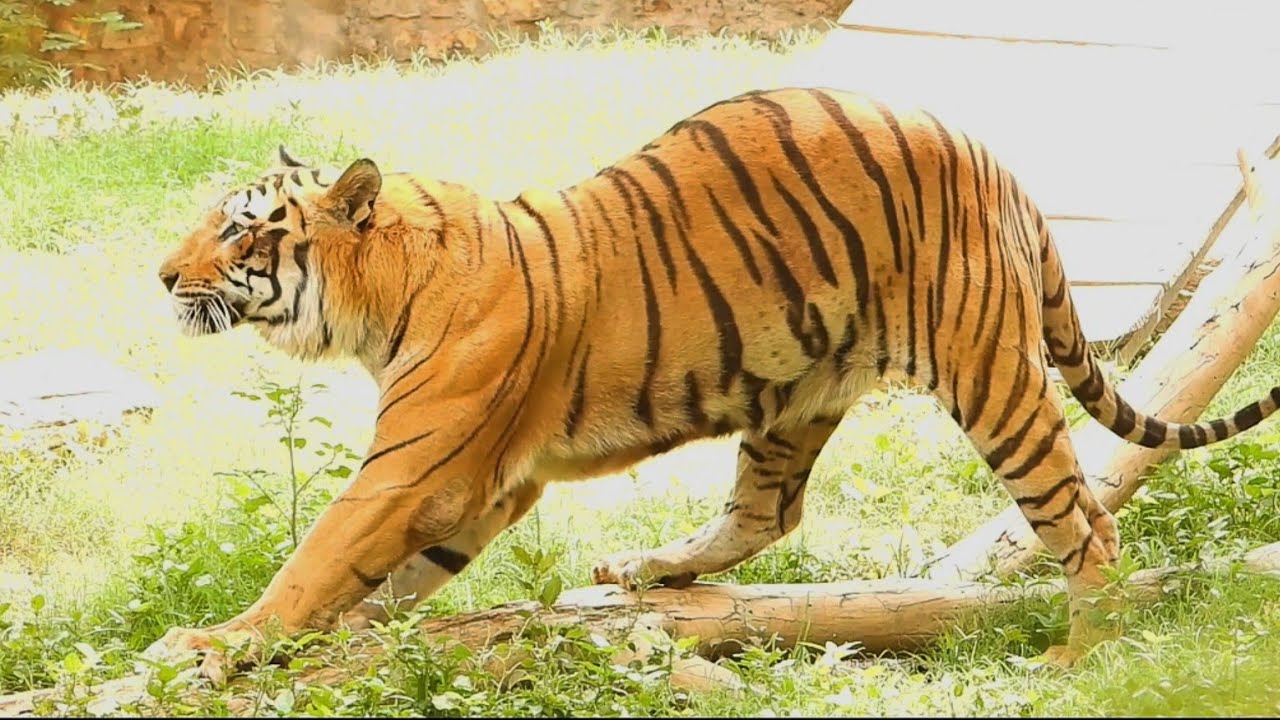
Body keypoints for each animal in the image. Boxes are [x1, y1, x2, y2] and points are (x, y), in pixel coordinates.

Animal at [149, 86, 1280, 677]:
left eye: (241, 229)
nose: (161, 275)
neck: (377, 294)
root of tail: (987, 154)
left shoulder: (416, 465)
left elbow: (320, 555)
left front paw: (217, 640)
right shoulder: (481, 485)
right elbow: (383, 577)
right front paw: (335, 647)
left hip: (989, 378)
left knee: (1087, 524)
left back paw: (1080, 659)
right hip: (798, 393)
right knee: (766, 516)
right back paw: (644, 570)